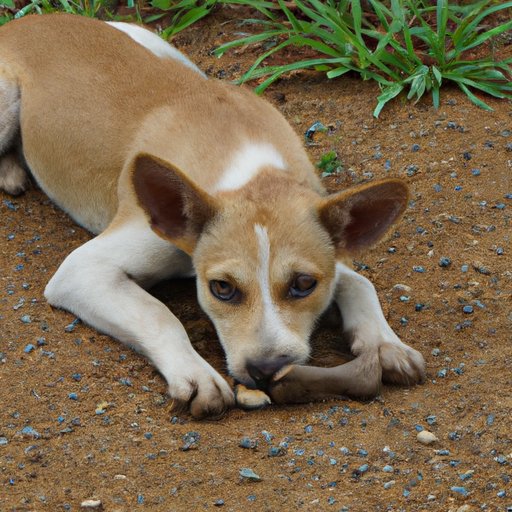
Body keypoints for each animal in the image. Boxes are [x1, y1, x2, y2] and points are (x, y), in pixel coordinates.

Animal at [0, 14, 424, 418]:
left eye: (304, 284)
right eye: (221, 288)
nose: (266, 370)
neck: (253, 174)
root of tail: (22, 23)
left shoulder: (328, 246)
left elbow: (358, 282)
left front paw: (384, 343)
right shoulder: (83, 270)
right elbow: (158, 314)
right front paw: (197, 375)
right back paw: (10, 172)